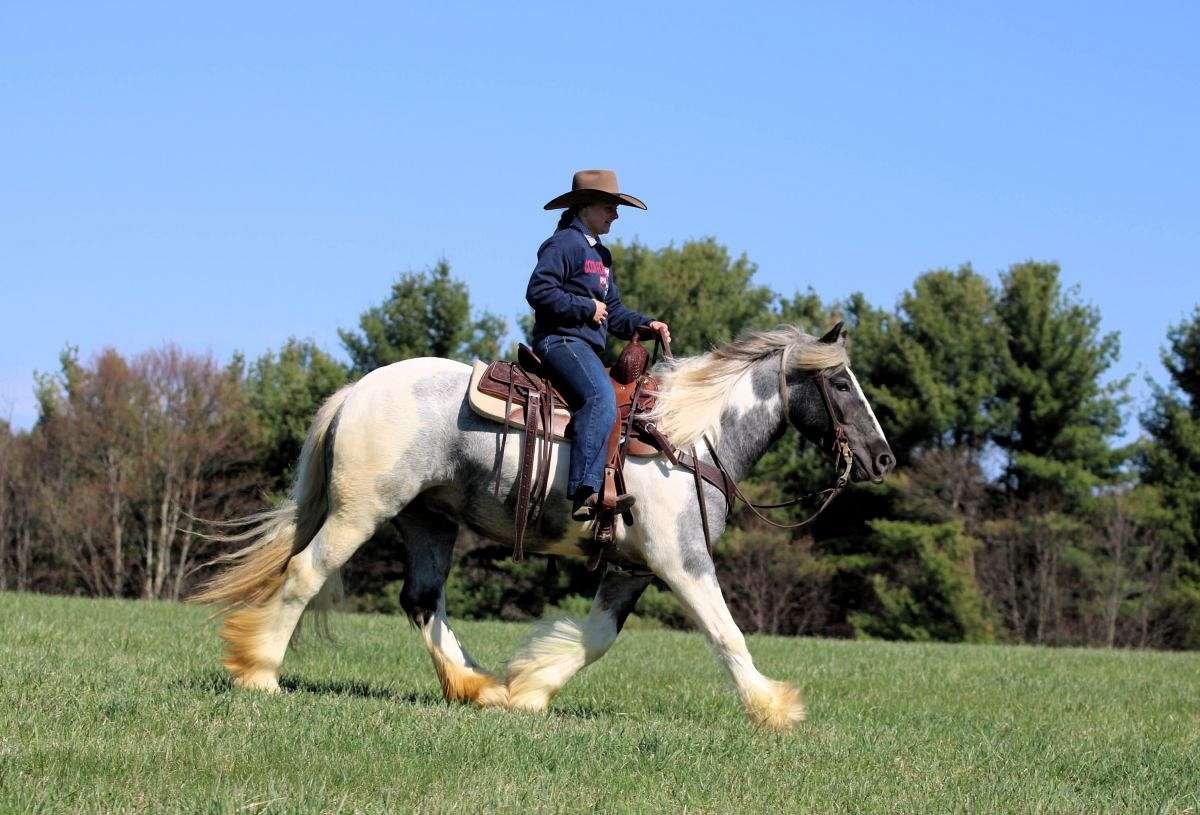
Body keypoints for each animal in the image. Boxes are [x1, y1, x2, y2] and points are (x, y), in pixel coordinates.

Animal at [192, 323, 893, 730]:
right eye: (838, 382)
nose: (883, 459)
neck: (688, 436)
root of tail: (355, 391)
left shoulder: (633, 568)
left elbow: (598, 637)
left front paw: (529, 688)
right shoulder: (681, 559)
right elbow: (727, 634)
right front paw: (774, 708)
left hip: (429, 522)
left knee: (422, 600)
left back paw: (480, 686)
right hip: (359, 511)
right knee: (306, 573)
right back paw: (259, 673)